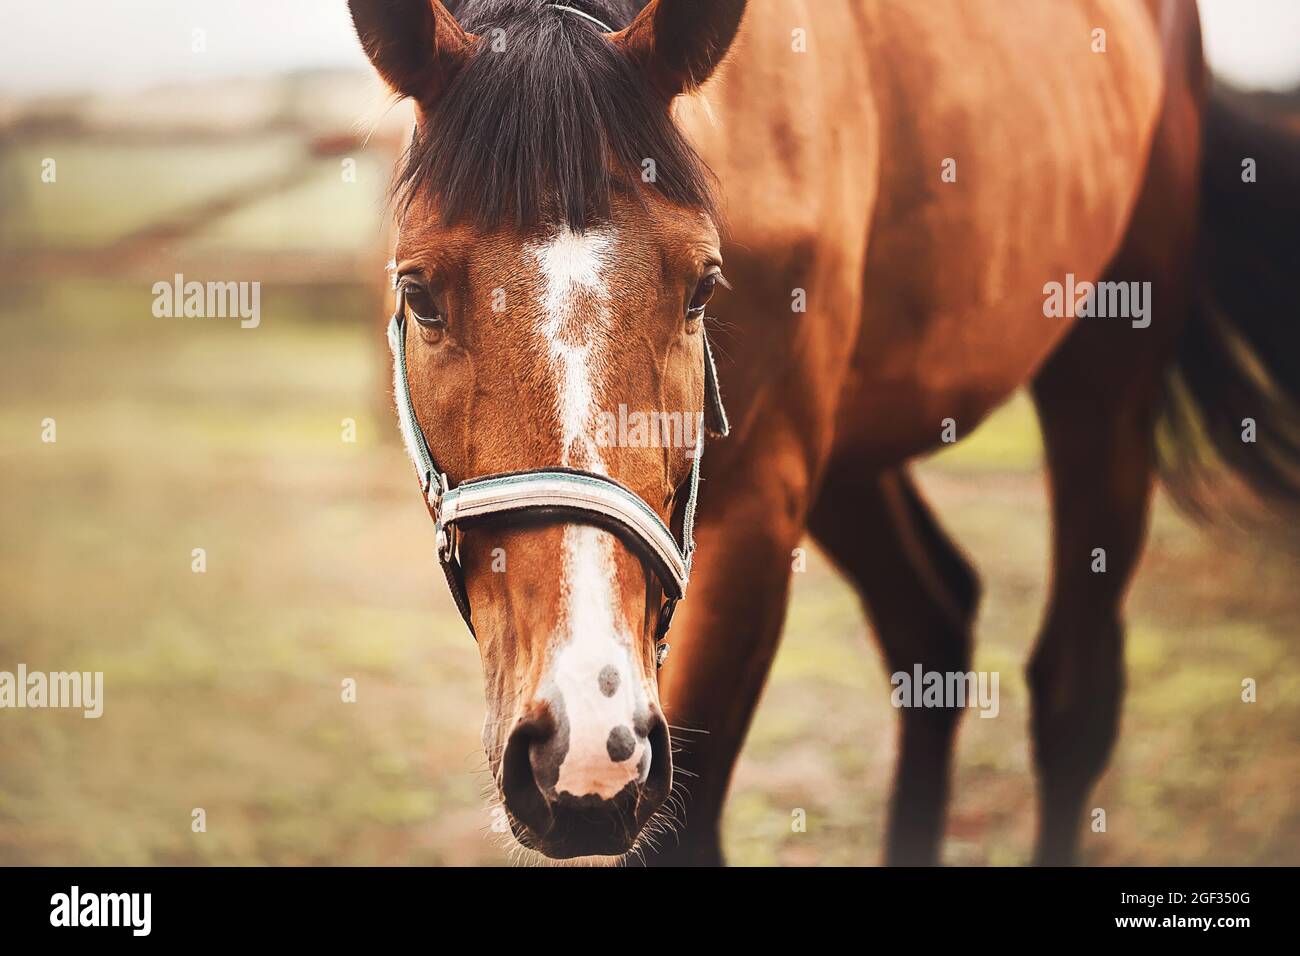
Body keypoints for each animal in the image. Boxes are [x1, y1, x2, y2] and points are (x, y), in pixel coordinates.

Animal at [348, 0, 1300, 864]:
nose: (582, 745)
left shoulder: (759, 513)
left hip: (1104, 386)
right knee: (932, 626)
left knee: (1071, 695)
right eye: (419, 293)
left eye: (703, 287)